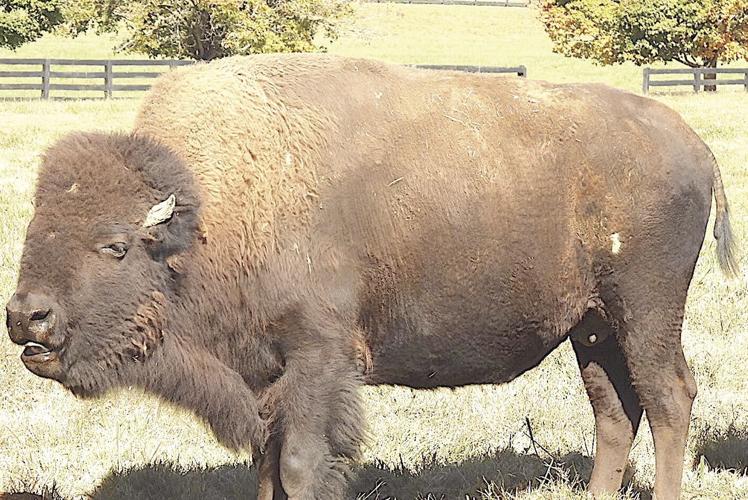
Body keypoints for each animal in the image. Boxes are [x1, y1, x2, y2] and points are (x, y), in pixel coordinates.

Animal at [6, 54, 737, 499]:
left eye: (114, 245)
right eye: (33, 229)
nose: (25, 316)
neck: (211, 210)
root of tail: (695, 146)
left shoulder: (318, 362)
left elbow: (300, 465)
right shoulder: (266, 374)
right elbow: (266, 462)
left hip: (646, 313)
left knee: (669, 399)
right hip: (592, 329)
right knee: (615, 412)